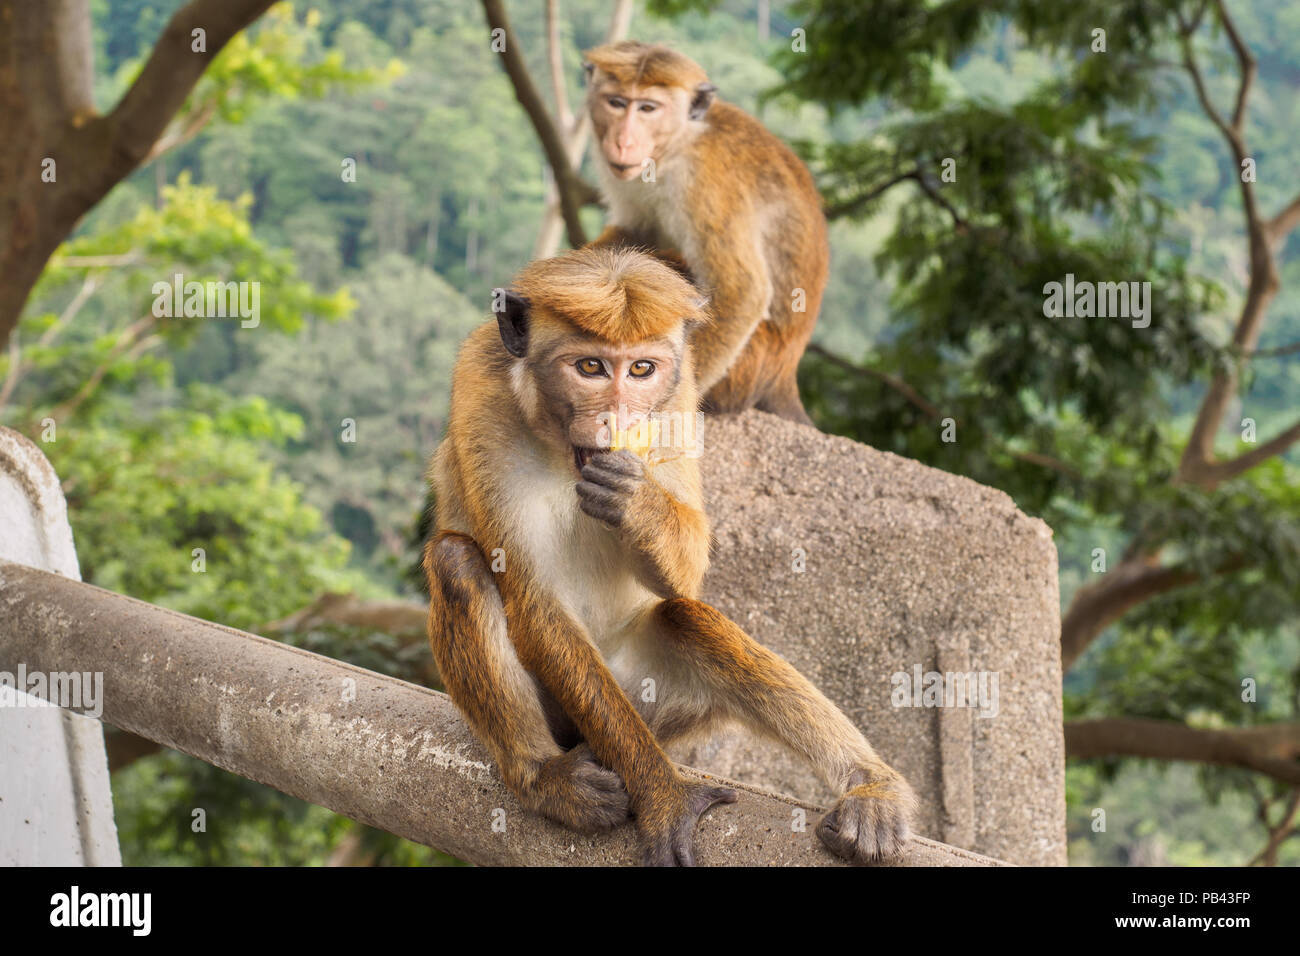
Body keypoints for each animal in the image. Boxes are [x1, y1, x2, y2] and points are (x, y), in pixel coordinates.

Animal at [423, 245, 915, 866]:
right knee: (457, 564)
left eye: (641, 370)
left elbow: (686, 579)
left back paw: (871, 788)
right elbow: (533, 601)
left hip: (654, 700)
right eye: (590, 368)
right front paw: (665, 797)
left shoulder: (679, 398)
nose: (621, 417)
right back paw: (544, 776)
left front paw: (639, 504)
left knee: (691, 619)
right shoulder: (480, 393)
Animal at [581, 40, 830, 427]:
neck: (678, 145)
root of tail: (783, 376)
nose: (623, 142)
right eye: (617, 102)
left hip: (748, 365)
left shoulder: (705, 181)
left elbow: (739, 289)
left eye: (648, 108)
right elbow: (636, 232)